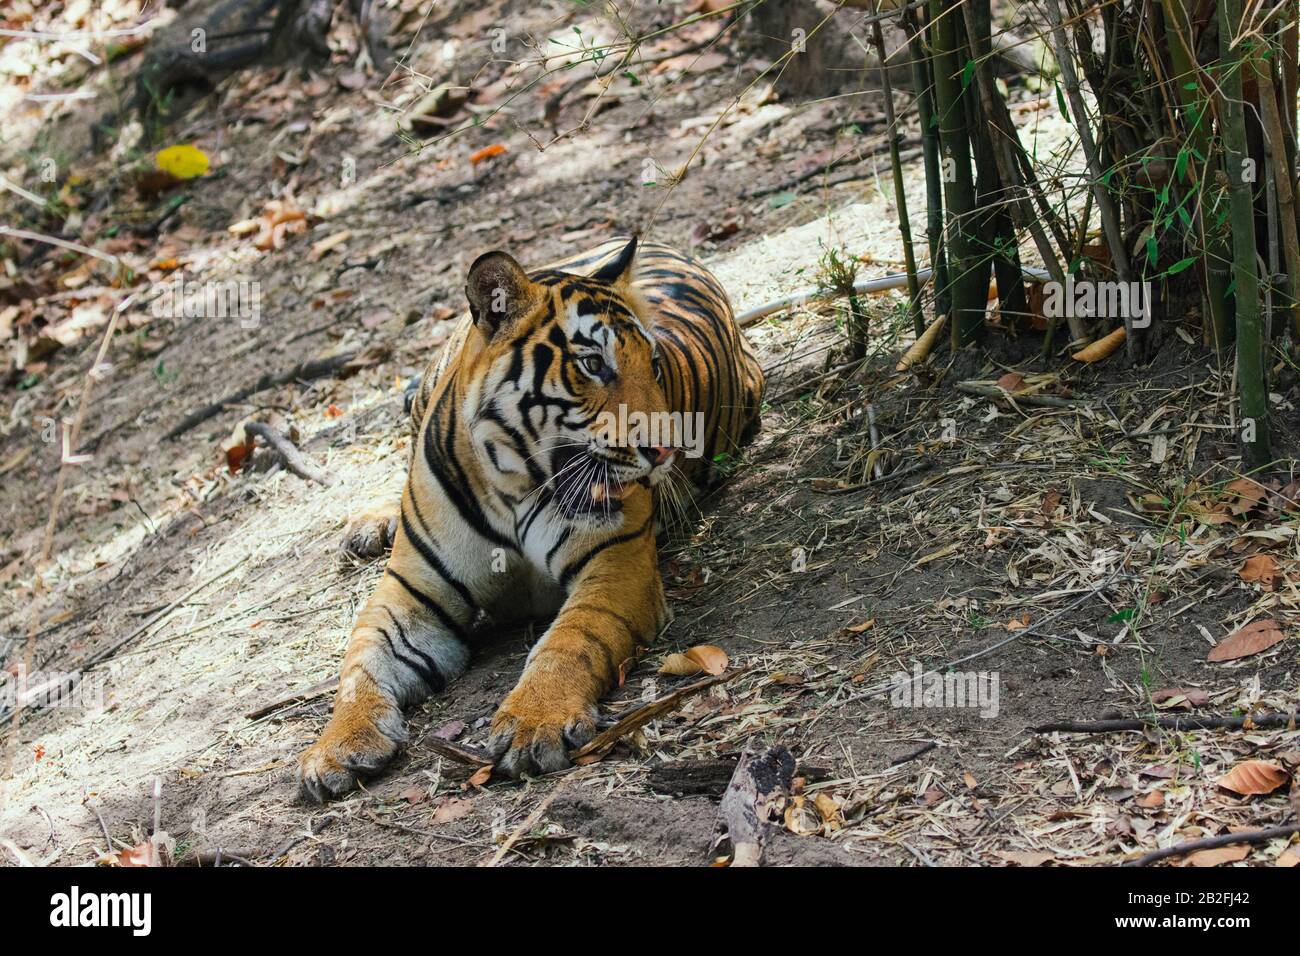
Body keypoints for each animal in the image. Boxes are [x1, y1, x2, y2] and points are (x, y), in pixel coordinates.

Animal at [297, 236, 764, 801]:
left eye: (653, 365)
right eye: (592, 364)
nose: (667, 450)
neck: (513, 481)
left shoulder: (617, 565)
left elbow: (572, 639)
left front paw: (533, 722)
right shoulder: (412, 592)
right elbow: (360, 663)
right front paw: (336, 747)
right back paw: (371, 525)